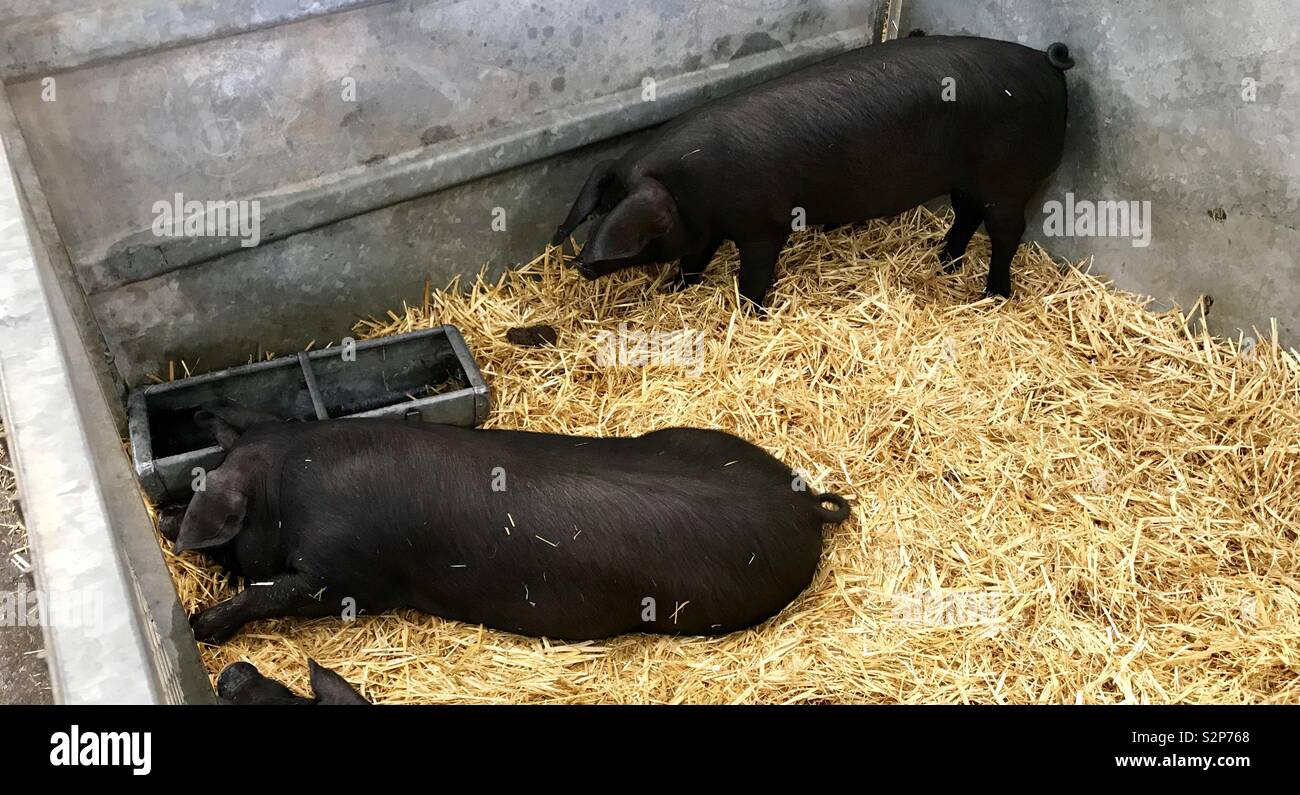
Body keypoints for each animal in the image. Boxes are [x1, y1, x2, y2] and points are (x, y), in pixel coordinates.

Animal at [176, 407, 850, 644]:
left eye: (227, 535)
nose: (169, 515)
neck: (287, 481)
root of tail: (804, 507)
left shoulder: (344, 576)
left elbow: (277, 593)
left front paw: (201, 626)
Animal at [552, 35, 1075, 307]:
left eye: (626, 218)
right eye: (602, 204)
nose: (582, 264)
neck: (689, 189)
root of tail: (1046, 63)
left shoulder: (765, 224)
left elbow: (754, 271)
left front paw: (752, 312)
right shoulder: (705, 225)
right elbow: (694, 257)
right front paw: (677, 286)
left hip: (1009, 179)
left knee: (1006, 231)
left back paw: (995, 295)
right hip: (966, 180)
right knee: (967, 215)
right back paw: (943, 261)